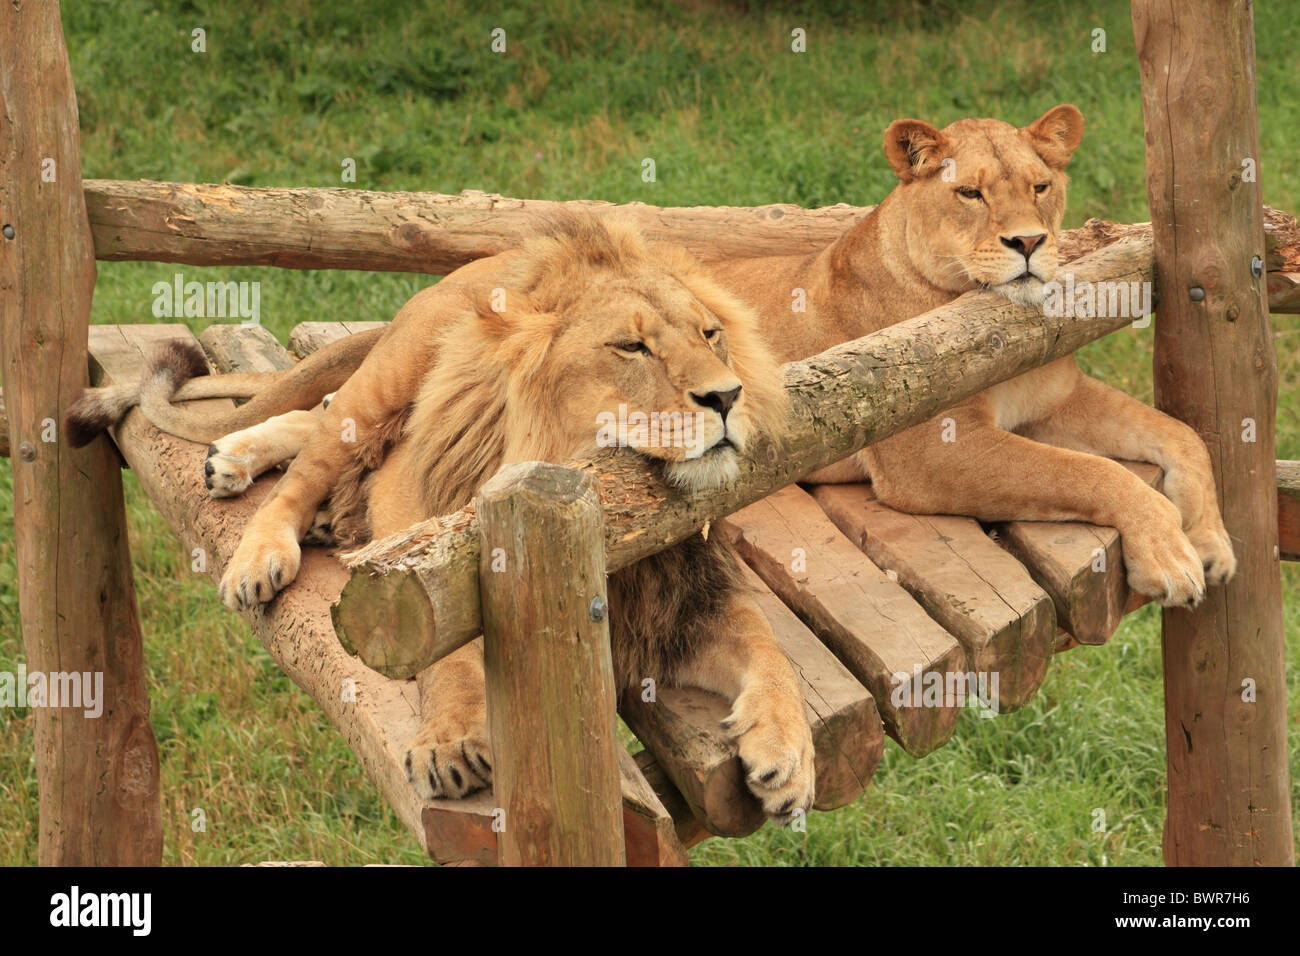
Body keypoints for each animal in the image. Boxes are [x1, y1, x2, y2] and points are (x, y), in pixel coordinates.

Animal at [68, 215, 815, 822]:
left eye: (711, 335)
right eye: (631, 348)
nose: (728, 396)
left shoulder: (689, 595)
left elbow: (768, 650)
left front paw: (789, 756)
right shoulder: (415, 508)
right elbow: (445, 631)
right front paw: (453, 736)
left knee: (315, 422)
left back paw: (240, 461)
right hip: (390, 380)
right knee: (315, 457)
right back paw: (262, 545)